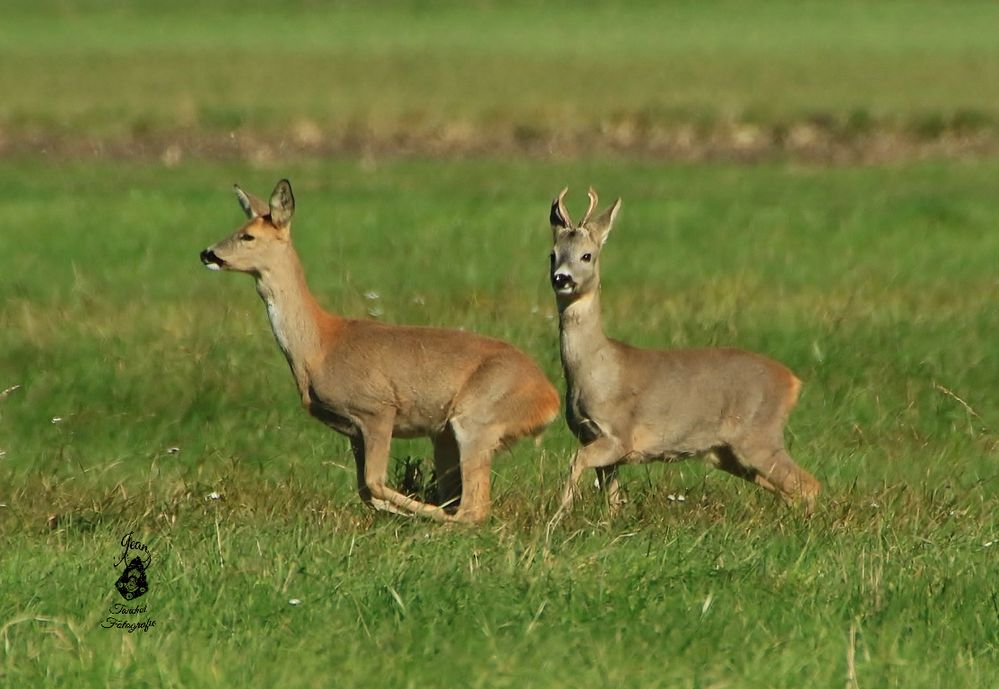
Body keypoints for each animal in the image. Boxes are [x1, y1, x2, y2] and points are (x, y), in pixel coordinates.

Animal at [200, 179, 560, 524]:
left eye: (247, 236)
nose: (207, 253)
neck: (319, 345)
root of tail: (549, 397)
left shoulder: (376, 409)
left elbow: (374, 484)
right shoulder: (353, 430)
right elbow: (365, 489)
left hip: (478, 418)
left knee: (473, 509)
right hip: (446, 434)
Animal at [547, 187, 820, 523]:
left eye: (587, 255)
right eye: (553, 254)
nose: (561, 278)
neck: (595, 367)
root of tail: (792, 381)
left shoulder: (619, 435)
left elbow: (577, 460)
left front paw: (557, 517)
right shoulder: (593, 438)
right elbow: (610, 494)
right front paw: (606, 523)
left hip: (758, 435)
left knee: (808, 485)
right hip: (727, 452)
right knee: (787, 487)